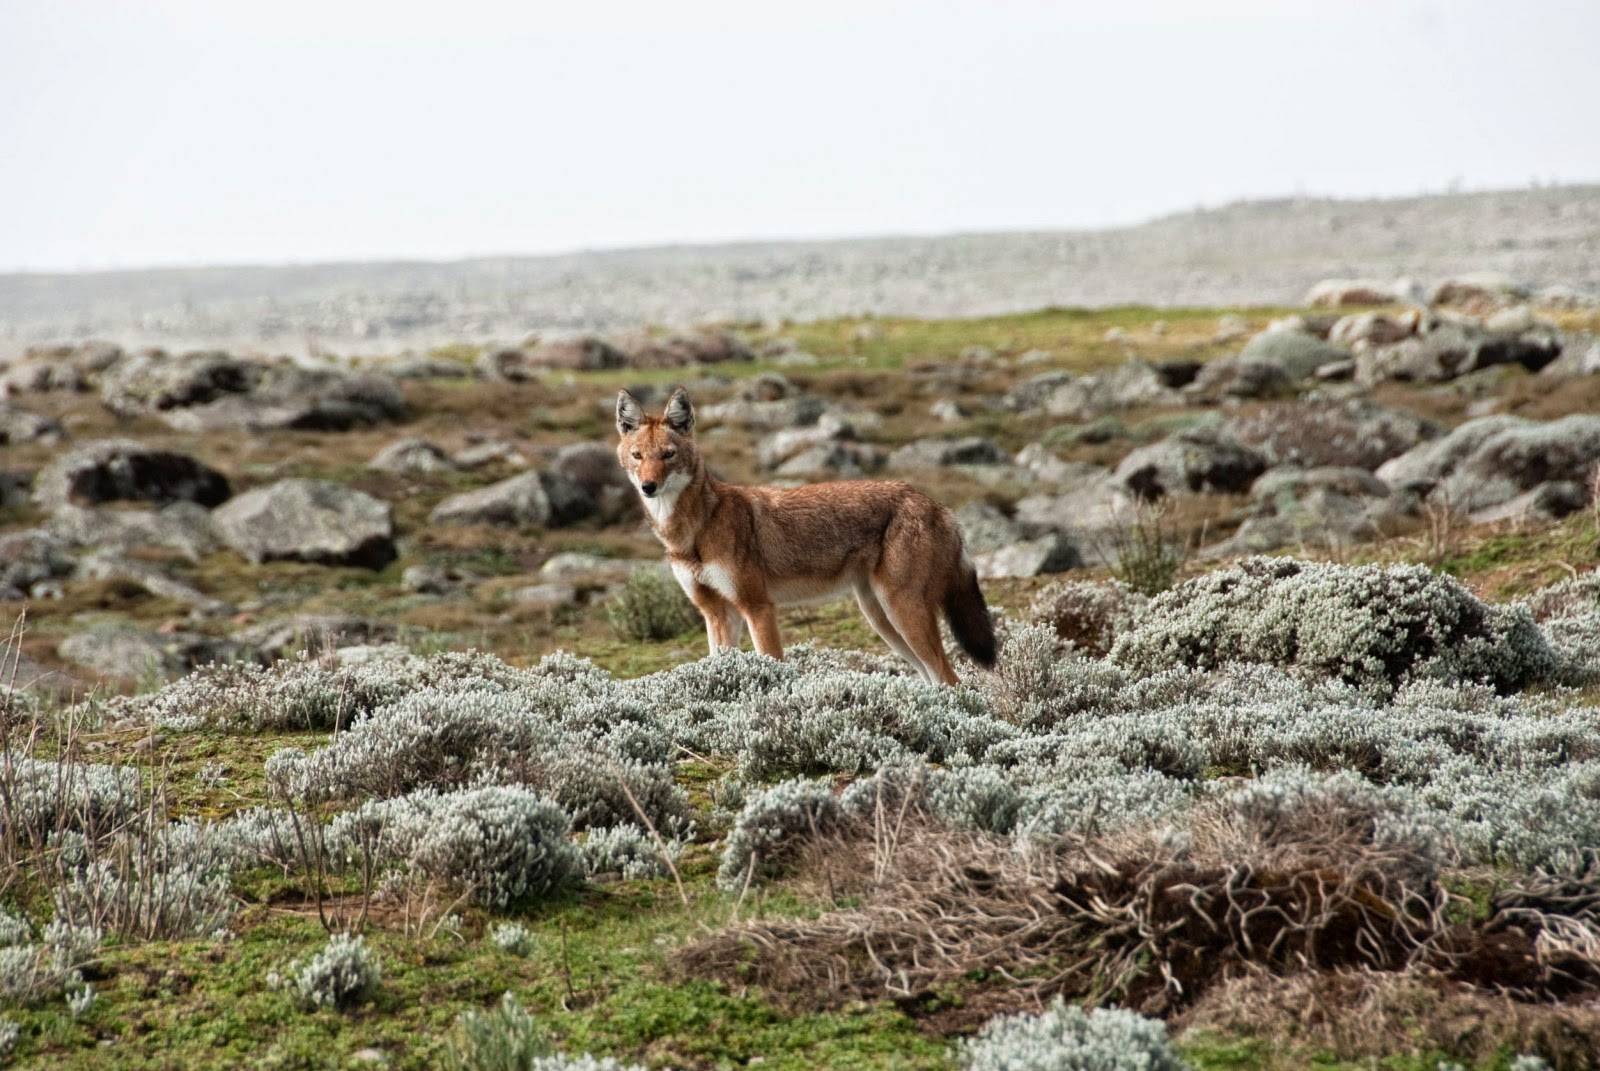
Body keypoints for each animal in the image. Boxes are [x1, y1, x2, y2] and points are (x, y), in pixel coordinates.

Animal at [615, 386, 997, 685]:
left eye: (668, 455)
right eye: (638, 456)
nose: (649, 487)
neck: (694, 530)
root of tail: (939, 507)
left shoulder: (758, 607)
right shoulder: (717, 614)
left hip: (902, 614)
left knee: (950, 678)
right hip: (884, 621)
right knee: (934, 679)